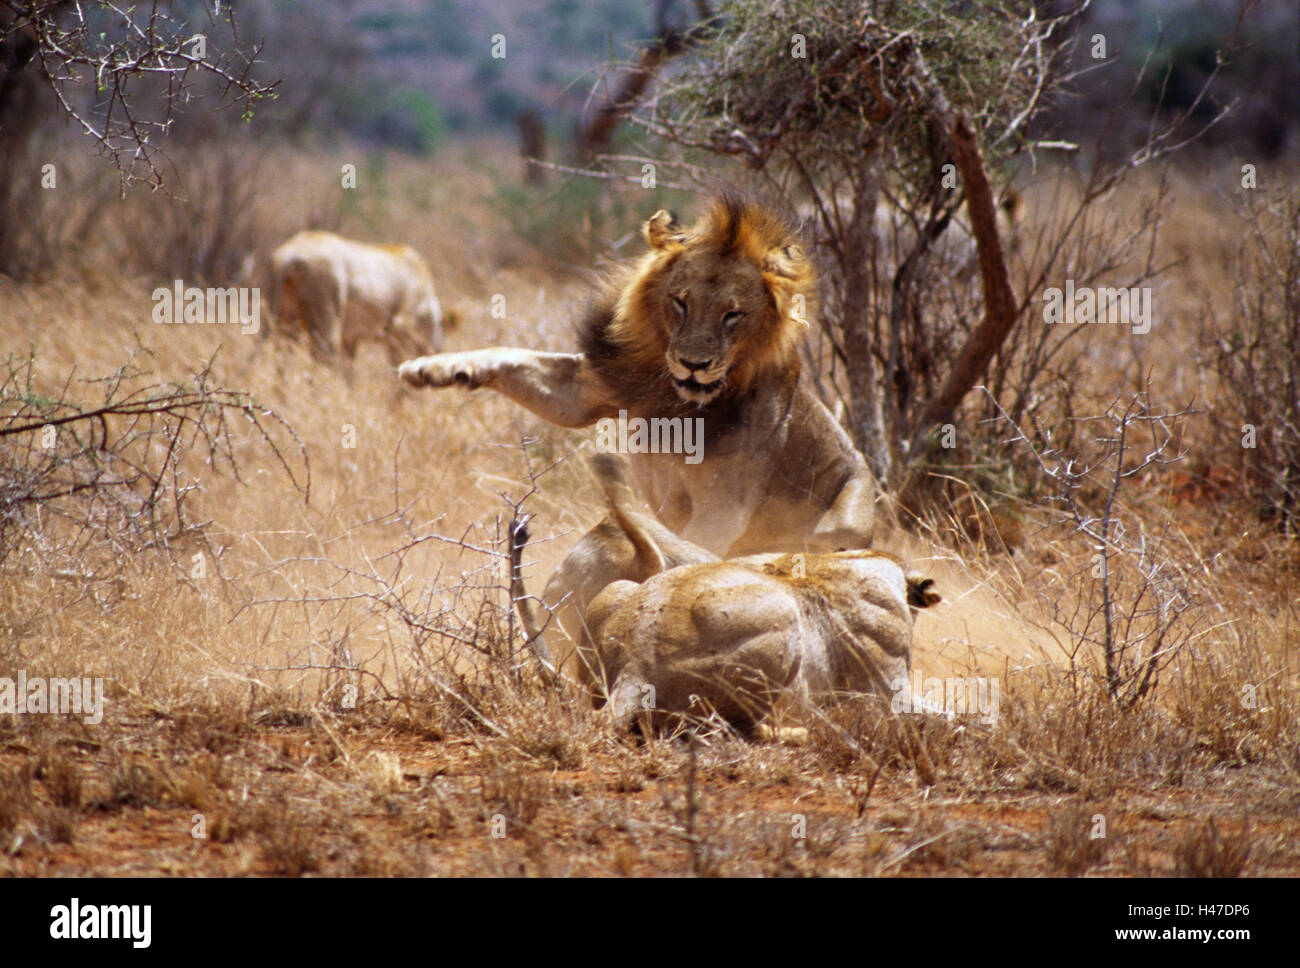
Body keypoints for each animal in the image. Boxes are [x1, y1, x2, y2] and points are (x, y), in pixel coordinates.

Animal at [270, 230, 451, 364]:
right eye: (441, 324)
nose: (439, 348)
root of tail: (292, 252)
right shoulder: (401, 325)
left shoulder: (351, 340)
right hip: (327, 318)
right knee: (325, 355)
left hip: (285, 319)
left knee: (282, 354)